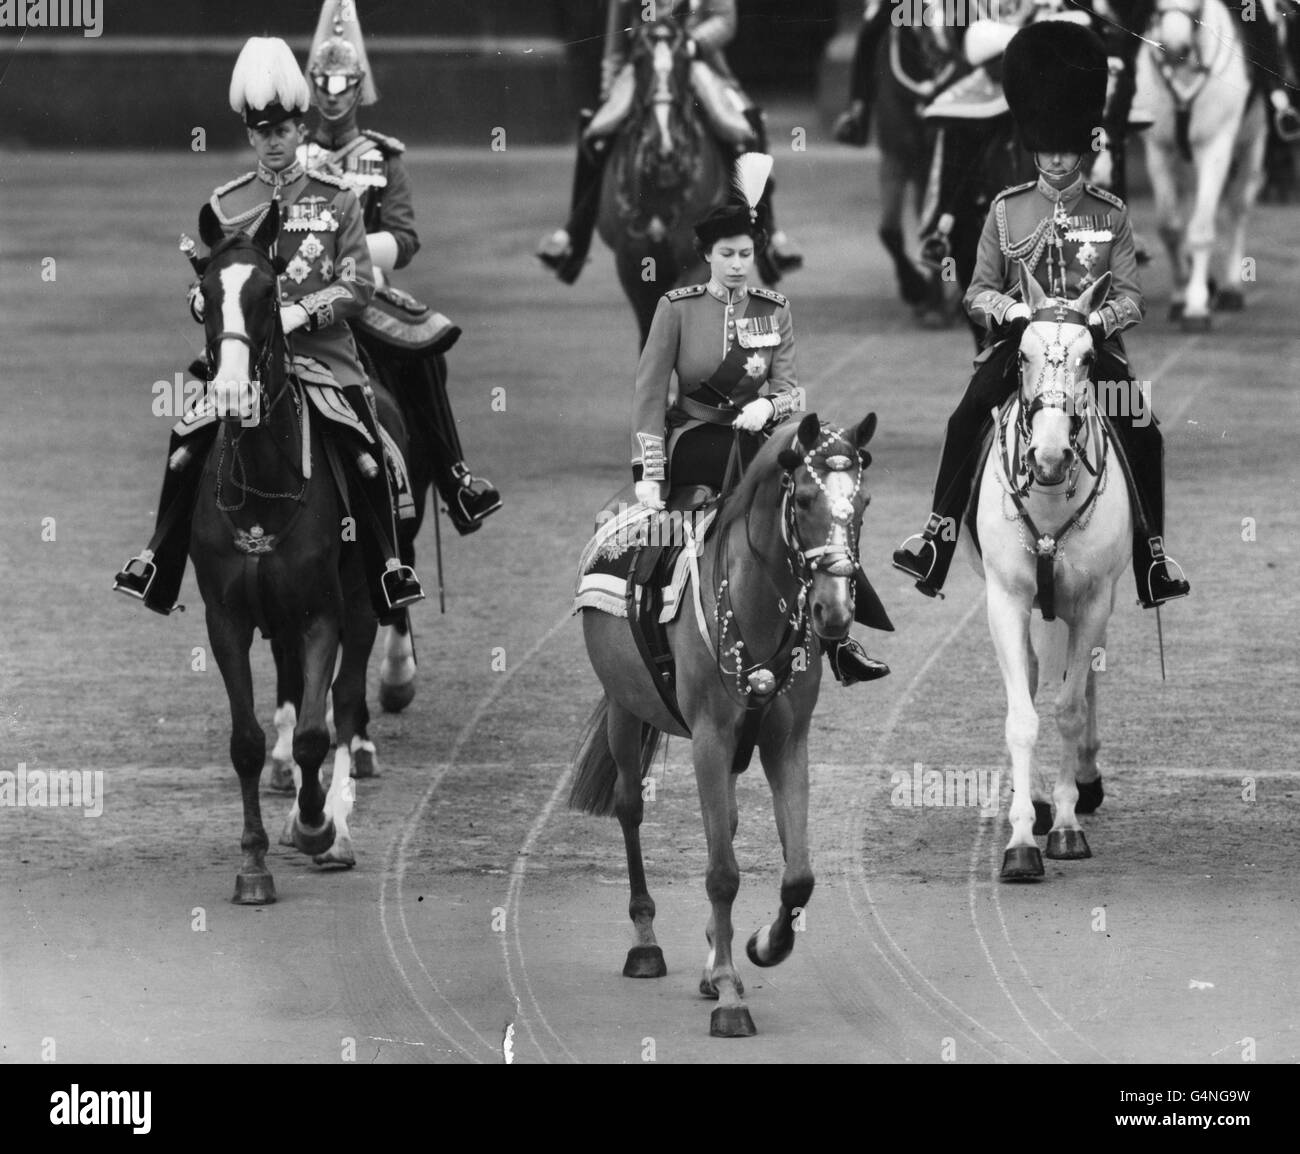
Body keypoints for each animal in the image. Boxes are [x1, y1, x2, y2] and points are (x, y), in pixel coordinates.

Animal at [574, 413, 878, 1034]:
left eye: (862, 504)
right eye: (803, 498)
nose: (834, 611)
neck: (754, 599)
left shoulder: (786, 742)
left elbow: (798, 874)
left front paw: (761, 947)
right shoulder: (710, 740)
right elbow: (721, 874)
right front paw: (732, 993)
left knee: (729, 823)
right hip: (624, 709)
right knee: (629, 808)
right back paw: (647, 942)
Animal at [972, 266, 1133, 883]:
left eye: (1089, 357)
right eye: (1021, 353)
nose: (1049, 455)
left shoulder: (1092, 601)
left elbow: (1067, 709)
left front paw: (1066, 825)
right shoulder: (1006, 600)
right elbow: (1024, 715)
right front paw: (1022, 839)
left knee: (1081, 681)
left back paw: (1083, 782)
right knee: (1039, 673)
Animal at [1144, 0, 1263, 328]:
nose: (1174, 46)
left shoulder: (1216, 147)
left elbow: (1200, 229)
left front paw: (1196, 305)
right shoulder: (1159, 149)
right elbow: (1170, 227)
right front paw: (1180, 295)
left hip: (1251, 144)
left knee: (1236, 209)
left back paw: (1231, 289)